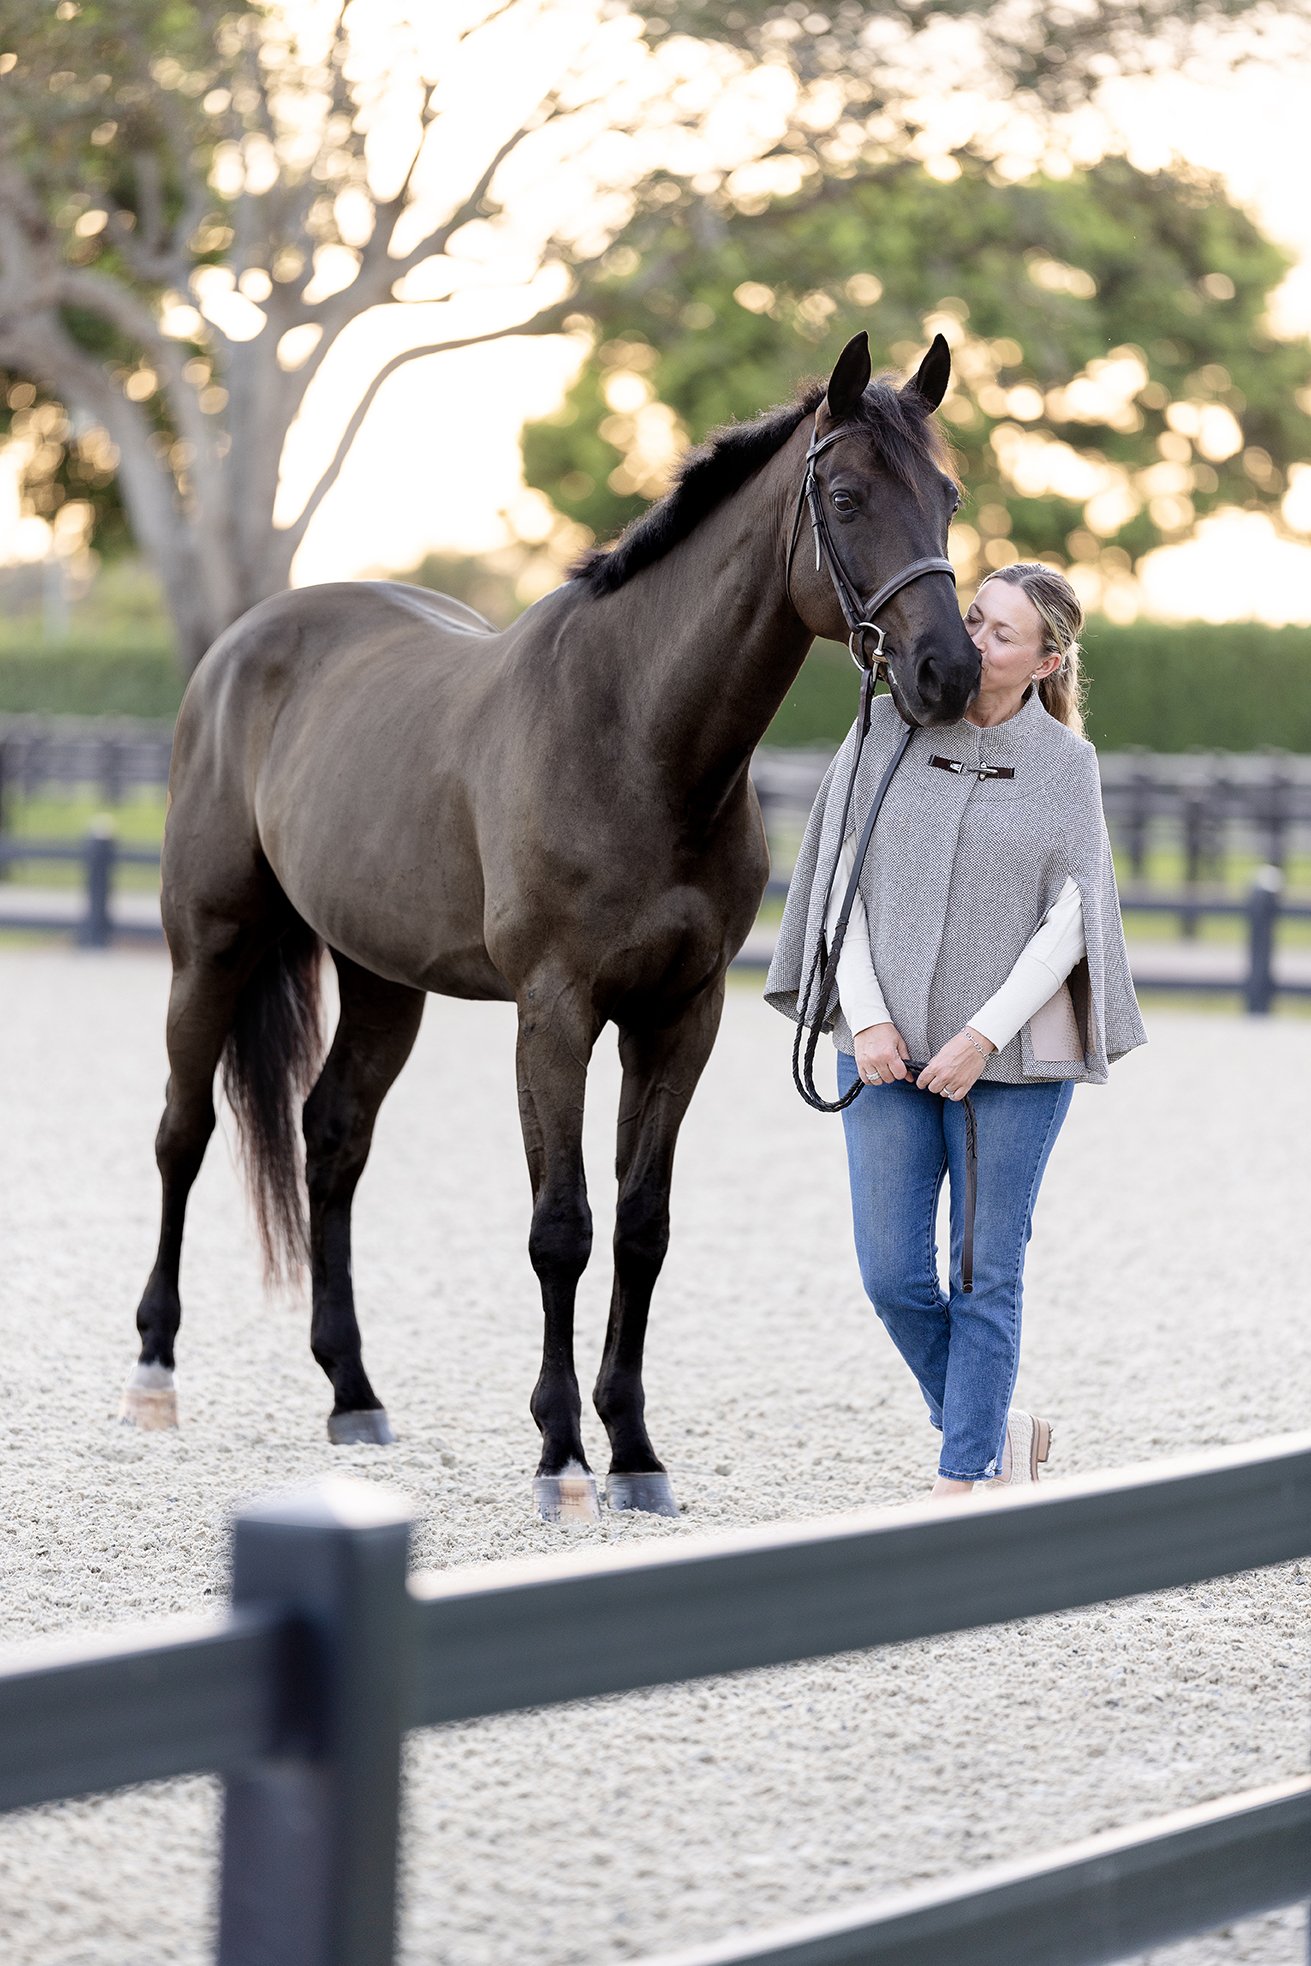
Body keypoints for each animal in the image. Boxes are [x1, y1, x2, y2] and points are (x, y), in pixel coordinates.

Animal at [120, 327, 981, 1520]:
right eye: (847, 497)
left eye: (947, 496)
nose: (950, 672)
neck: (634, 738)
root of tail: (243, 645)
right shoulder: (556, 1014)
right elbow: (562, 1228)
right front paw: (562, 1454)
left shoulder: (680, 1016)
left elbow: (641, 1226)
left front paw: (637, 1451)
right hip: (212, 945)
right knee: (183, 1132)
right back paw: (154, 1373)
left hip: (383, 977)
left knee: (332, 1138)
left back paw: (353, 1393)